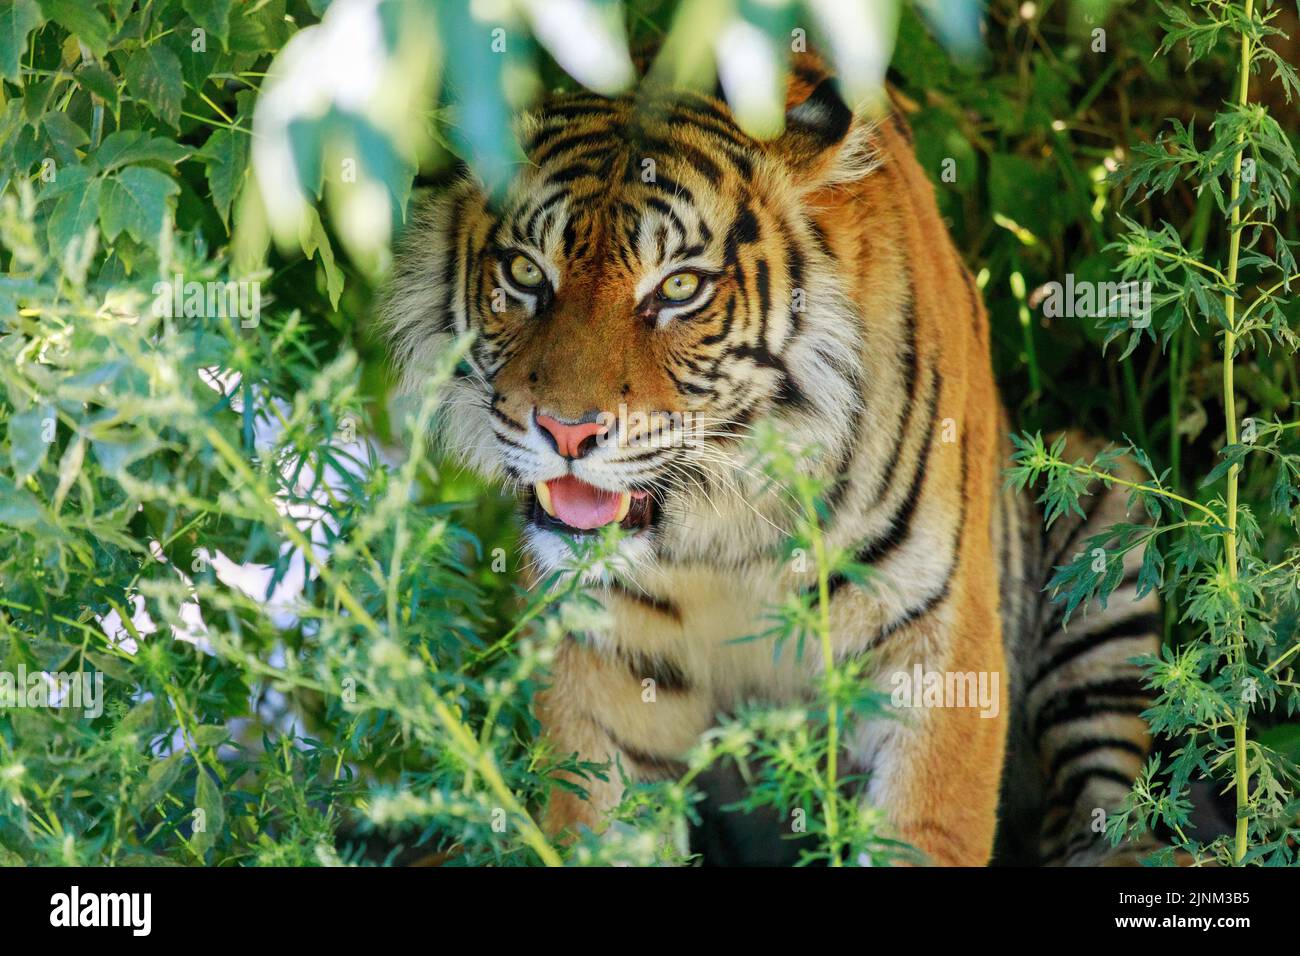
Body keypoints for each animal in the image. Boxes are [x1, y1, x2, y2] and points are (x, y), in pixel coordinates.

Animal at [379, 52, 1163, 866]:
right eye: (527, 273)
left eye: (680, 286)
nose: (566, 432)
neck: (722, 532)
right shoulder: (603, 675)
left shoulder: (941, 660)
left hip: (1109, 508)